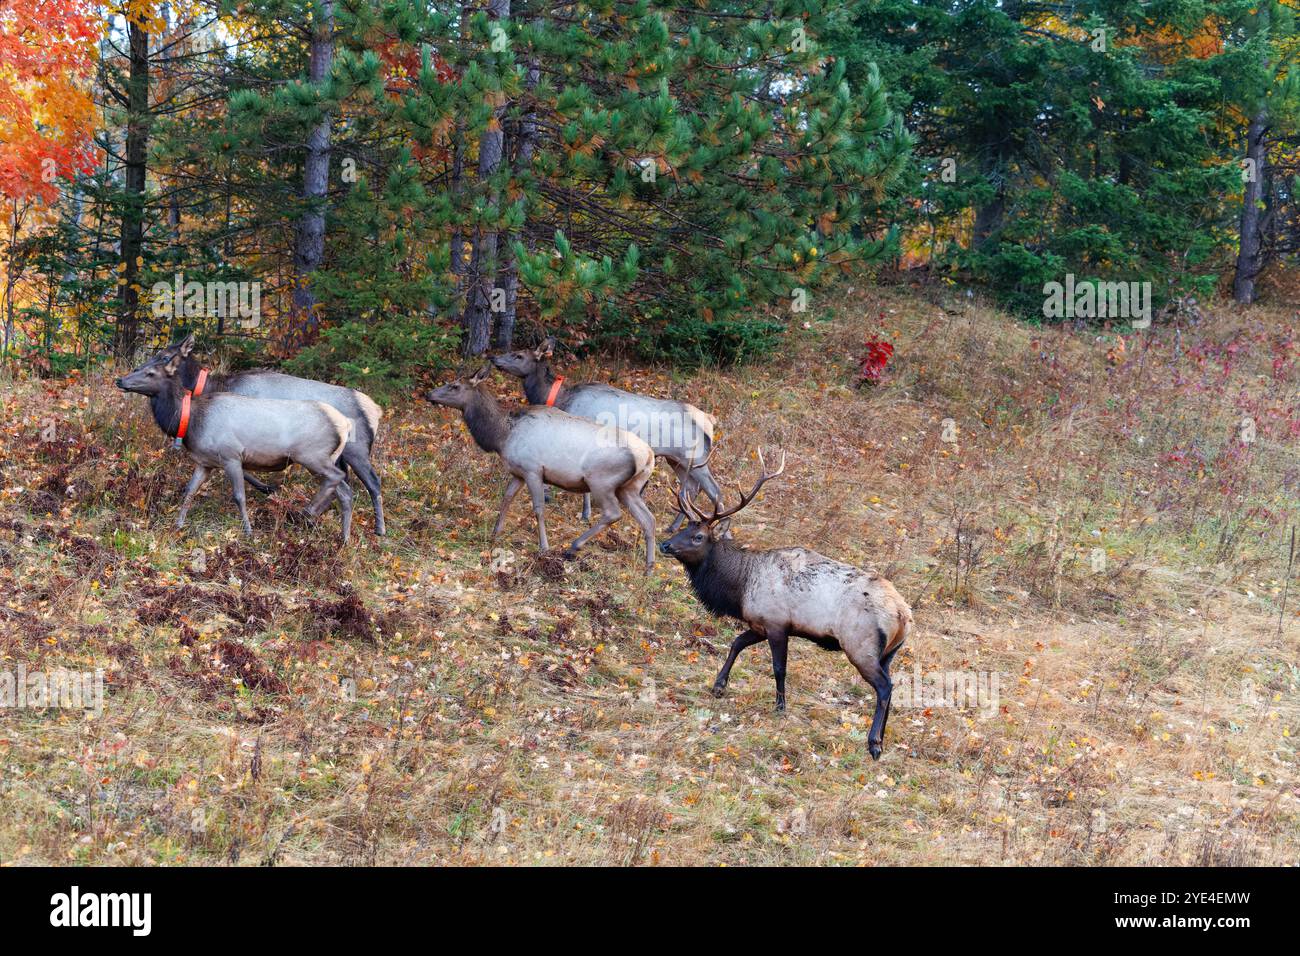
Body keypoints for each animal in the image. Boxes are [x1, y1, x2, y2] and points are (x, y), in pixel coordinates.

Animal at [115, 347, 355, 543]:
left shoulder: (231, 456)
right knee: (344, 491)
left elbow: (239, 497)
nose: (120, 380)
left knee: (337, 477)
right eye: (139, 367)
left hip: (311, 455)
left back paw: (308, 512)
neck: (190, 422)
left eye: (151, 373)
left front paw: (248, 532)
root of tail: (345, 424)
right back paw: (343, 538)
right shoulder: (205, 462)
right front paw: (178, 524)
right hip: (324, 458)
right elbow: (189, 491)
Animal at [150, 334, 386, 535]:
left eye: (165, 356)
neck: (214, 386)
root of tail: (375, 410)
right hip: (339, 455)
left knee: (372, 482)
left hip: (356, 450)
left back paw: (379, 528)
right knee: (342, 481)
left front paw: (266, 488)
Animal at [426, 365, 658, 573]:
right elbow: (507, 498)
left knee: (613, 513)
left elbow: (538, 508)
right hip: (629, 488)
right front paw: (495, 532)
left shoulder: (533, 470)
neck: (501, 437)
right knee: (648, 519)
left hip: (601, 481)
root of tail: (648, 457)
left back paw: (573, 547)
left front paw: (544, 547)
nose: (429, 394)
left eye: (455, 386)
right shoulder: (518, 472)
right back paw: (648, 568)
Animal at [491, 336, 722, 532]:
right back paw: (675, 527)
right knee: (691, 488)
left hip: (695, 457)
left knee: (714, 490)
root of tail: (710, 421)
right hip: (677, 460)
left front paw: (585, 514)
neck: (561, 399)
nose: (494, 358)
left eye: (519, 355)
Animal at [658, 451, 914, 759]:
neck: (741, 587)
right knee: (891, 684)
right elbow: (736, 643)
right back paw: (883, 737)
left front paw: (780, 707)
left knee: (885, 686)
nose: (665, 544)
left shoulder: (777, 622)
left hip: (860, 646)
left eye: (698, 537)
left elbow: (779, 667)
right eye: (685, 527)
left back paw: (874, 742)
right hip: (889, 653)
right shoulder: (759, 622)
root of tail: (903, 615)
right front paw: (718, 686)